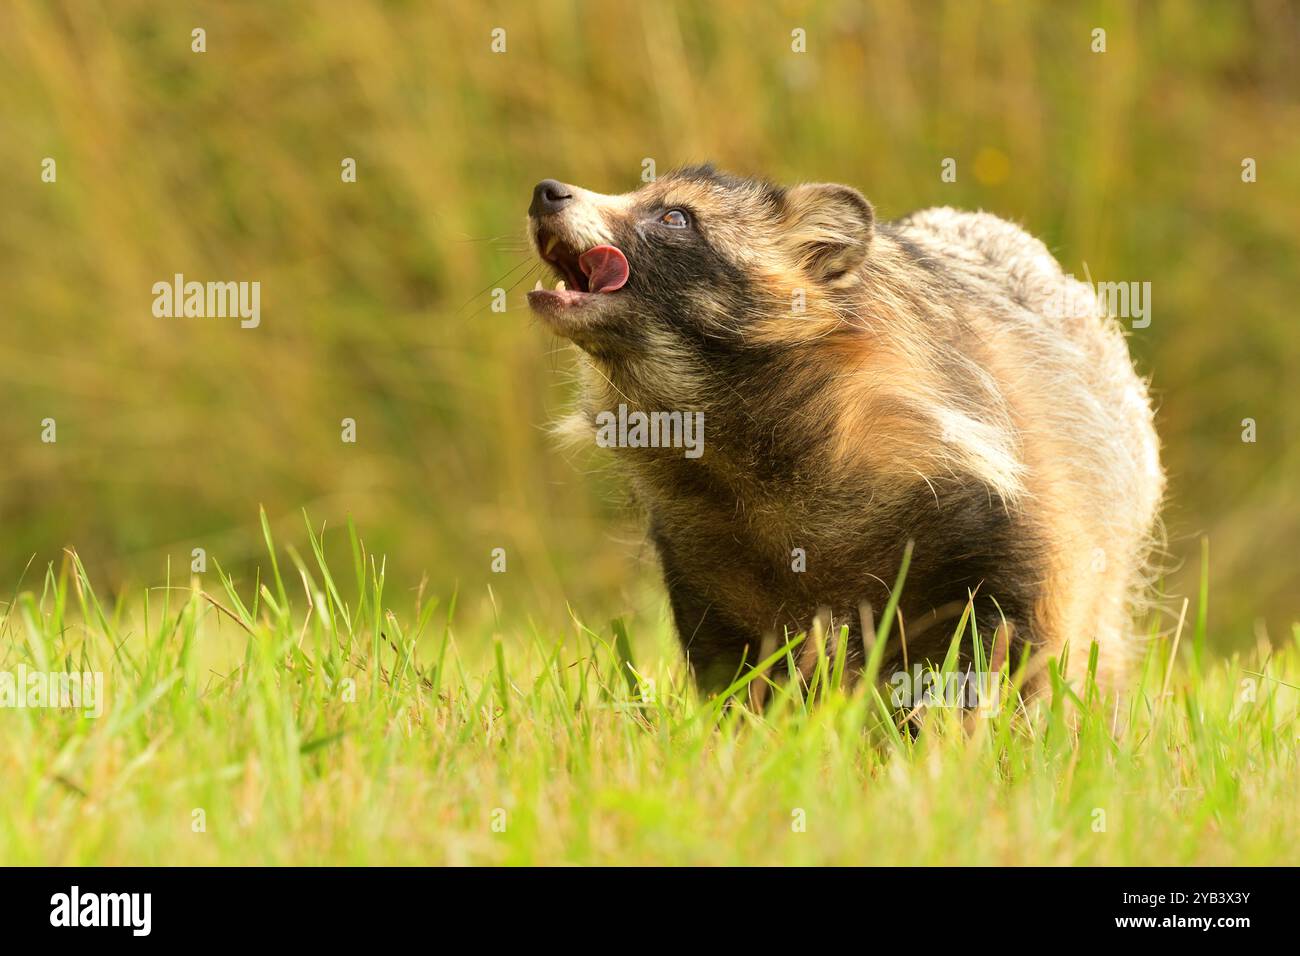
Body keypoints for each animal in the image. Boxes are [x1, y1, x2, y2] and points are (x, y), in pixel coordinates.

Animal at [526, 165, 1163, 695]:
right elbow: (733, 660)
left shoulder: (988, 498)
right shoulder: (704, 545)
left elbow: (998, 639)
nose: (547, 191)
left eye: (675, 216)